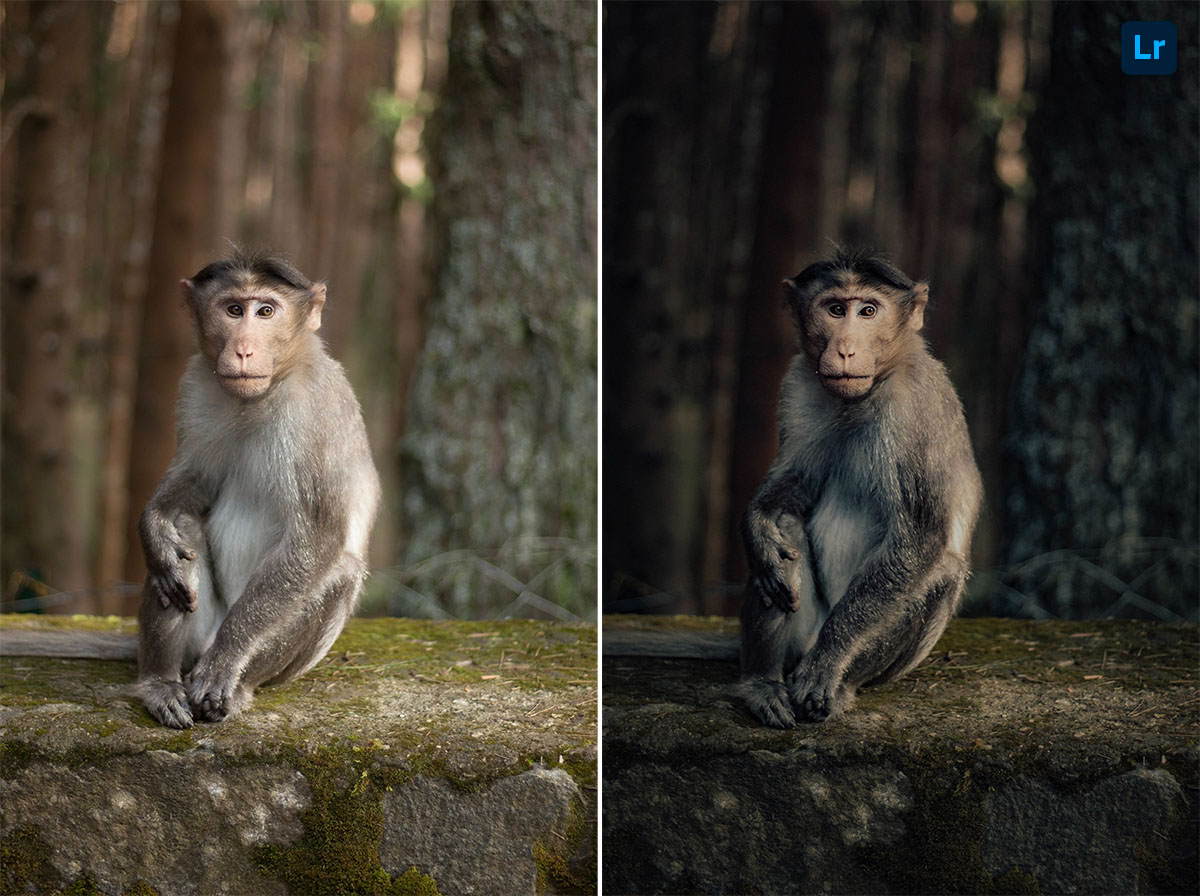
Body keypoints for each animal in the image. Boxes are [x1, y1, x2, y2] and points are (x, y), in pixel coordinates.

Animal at [735, 246, 982, 728]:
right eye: (835, 309)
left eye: (868, 311)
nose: (846, 349)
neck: (867, 393)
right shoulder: (799, 385)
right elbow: (795, 483)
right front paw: (756, 531)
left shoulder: (916, 408)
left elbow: (918, 541)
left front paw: (830, 660)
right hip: (802, 633)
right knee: (785, 532)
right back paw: (763, 683)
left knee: (940, 569)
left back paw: (837, 684)